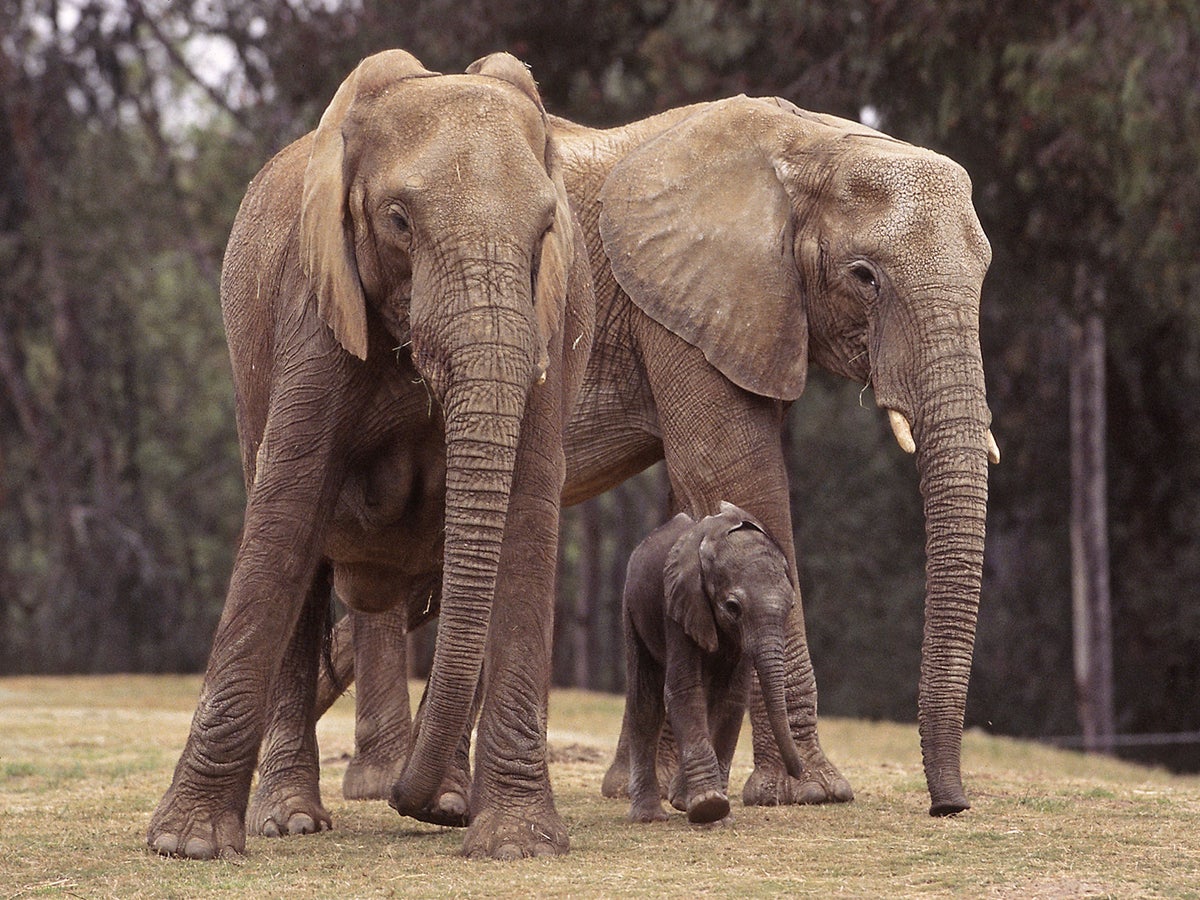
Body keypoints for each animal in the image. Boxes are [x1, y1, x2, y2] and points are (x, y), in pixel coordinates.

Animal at [145, 50, 594, 861]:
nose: (404, 800)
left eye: (547, 227)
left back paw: (446, 800)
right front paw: (187, 847)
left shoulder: (557, 313)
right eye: (398, 221)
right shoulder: (312, 305)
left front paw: (515, 844)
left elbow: (524, 515)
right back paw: (294, 818)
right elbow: (284, 513)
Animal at [620, 503, 804, 825]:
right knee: (645, 700)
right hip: (632, 604)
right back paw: (649, 817)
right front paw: (709, 806)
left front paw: (712, 812)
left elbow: (731, 698)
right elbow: (683, 690)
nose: (799, 772)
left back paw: (679, 800)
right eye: (733, 607)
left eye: (790, 606)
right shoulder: (679, 602)